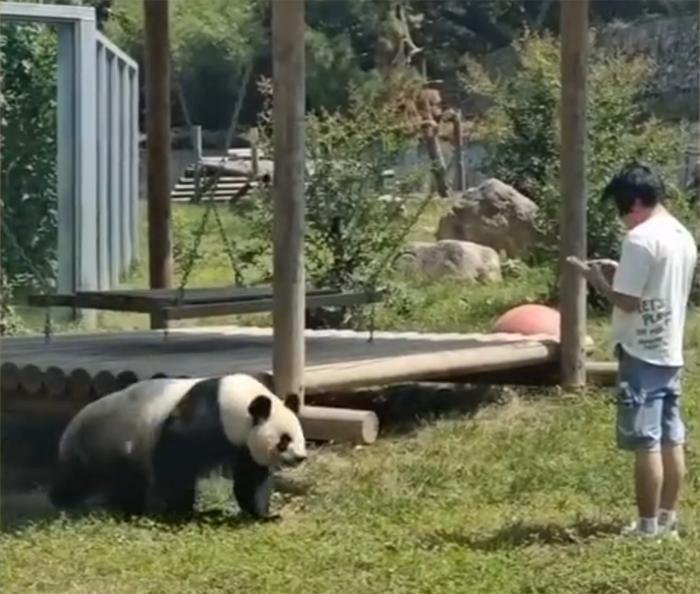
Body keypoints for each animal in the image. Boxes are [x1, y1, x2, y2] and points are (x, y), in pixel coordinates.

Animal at [48, 373, 307, 521]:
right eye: (284, 440)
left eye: (299, 436)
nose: (300, 457)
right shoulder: (206, 417)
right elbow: (176, 460)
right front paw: (181, 512)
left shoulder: (242, 444)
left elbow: (250, 478)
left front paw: (264, 514)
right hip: (110, 440)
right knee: (108, 478)